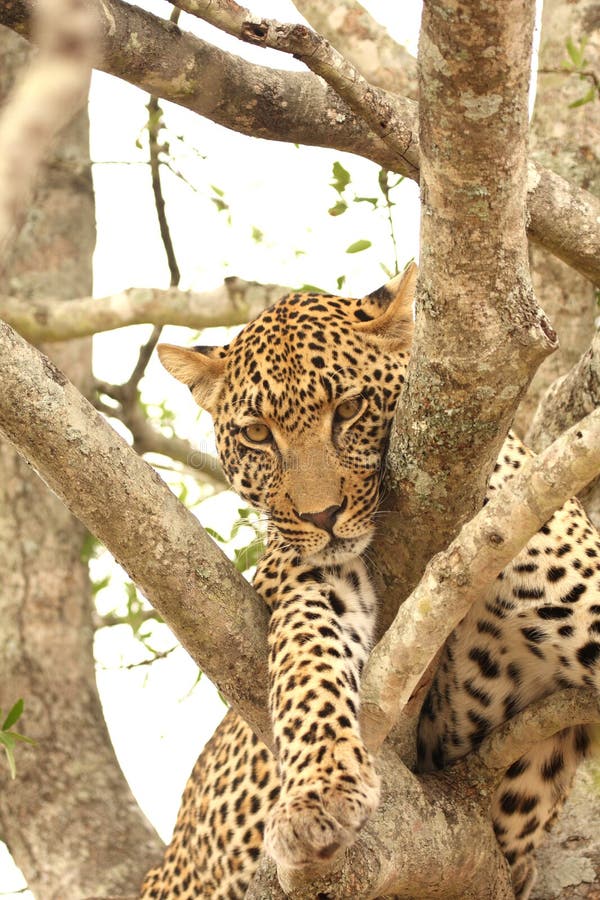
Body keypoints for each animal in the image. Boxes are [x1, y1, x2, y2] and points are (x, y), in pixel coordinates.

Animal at [141, 263, 599, 899]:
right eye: (257, 434)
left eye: (351, 408)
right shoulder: (311, 582)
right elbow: (306, 669)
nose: (321, 516)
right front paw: (319, 795)